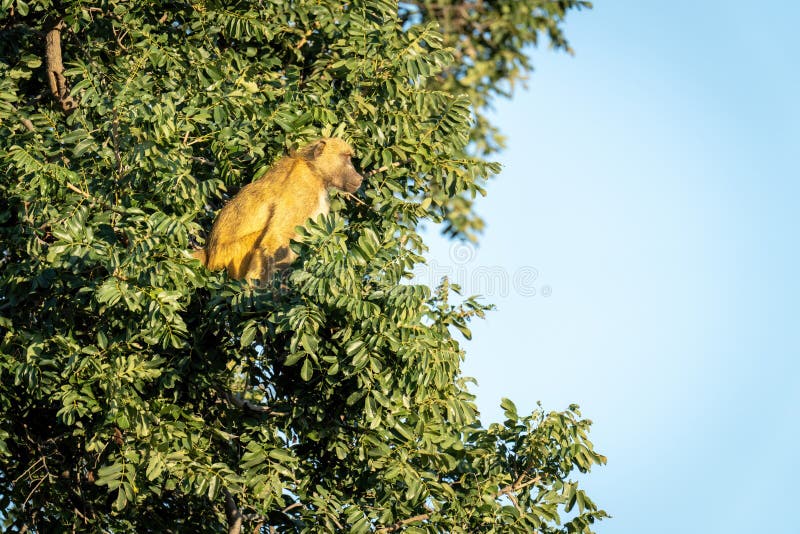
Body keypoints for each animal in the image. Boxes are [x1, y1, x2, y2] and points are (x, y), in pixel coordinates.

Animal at [192, 138, 363, 283]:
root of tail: (209, 253)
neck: (315, 172)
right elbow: (278, 235)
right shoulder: (304, 189)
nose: (360, 177)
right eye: (346, 158)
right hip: (231, 254)